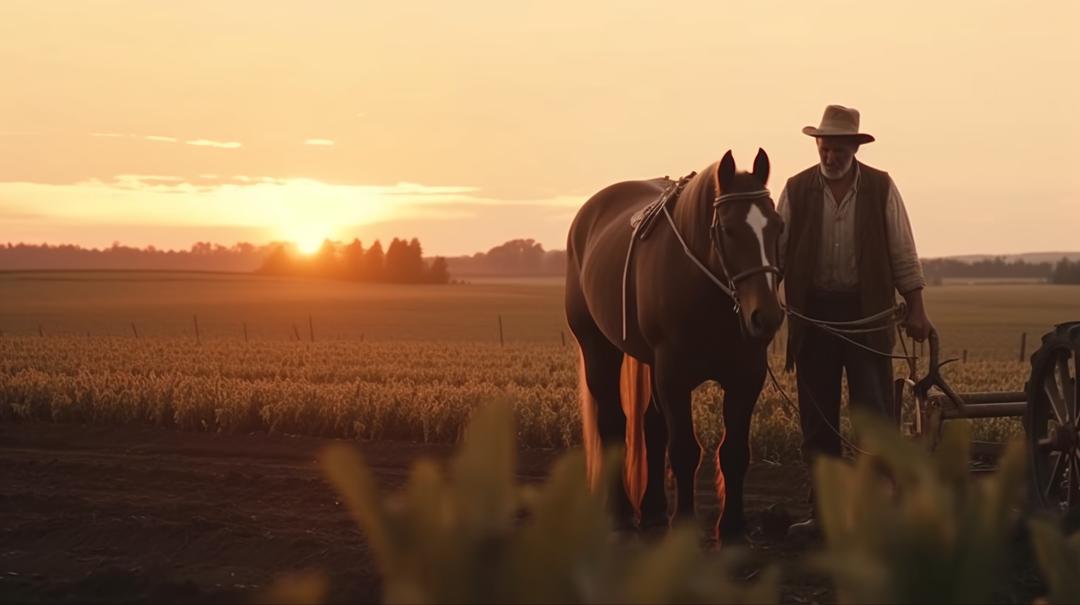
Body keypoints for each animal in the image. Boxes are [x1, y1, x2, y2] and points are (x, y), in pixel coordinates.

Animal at [565, 149, 784, 542]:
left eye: (777, 225)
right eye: (727, 229)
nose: (766, 317)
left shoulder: (747, 376)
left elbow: (734, 452)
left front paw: (732, 528)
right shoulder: (674, 375)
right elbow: (683, 449)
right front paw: (683, 523)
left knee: (652, 427)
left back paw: (652, 510)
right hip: (598, 348)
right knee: (613, 425)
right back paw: (621, 514)